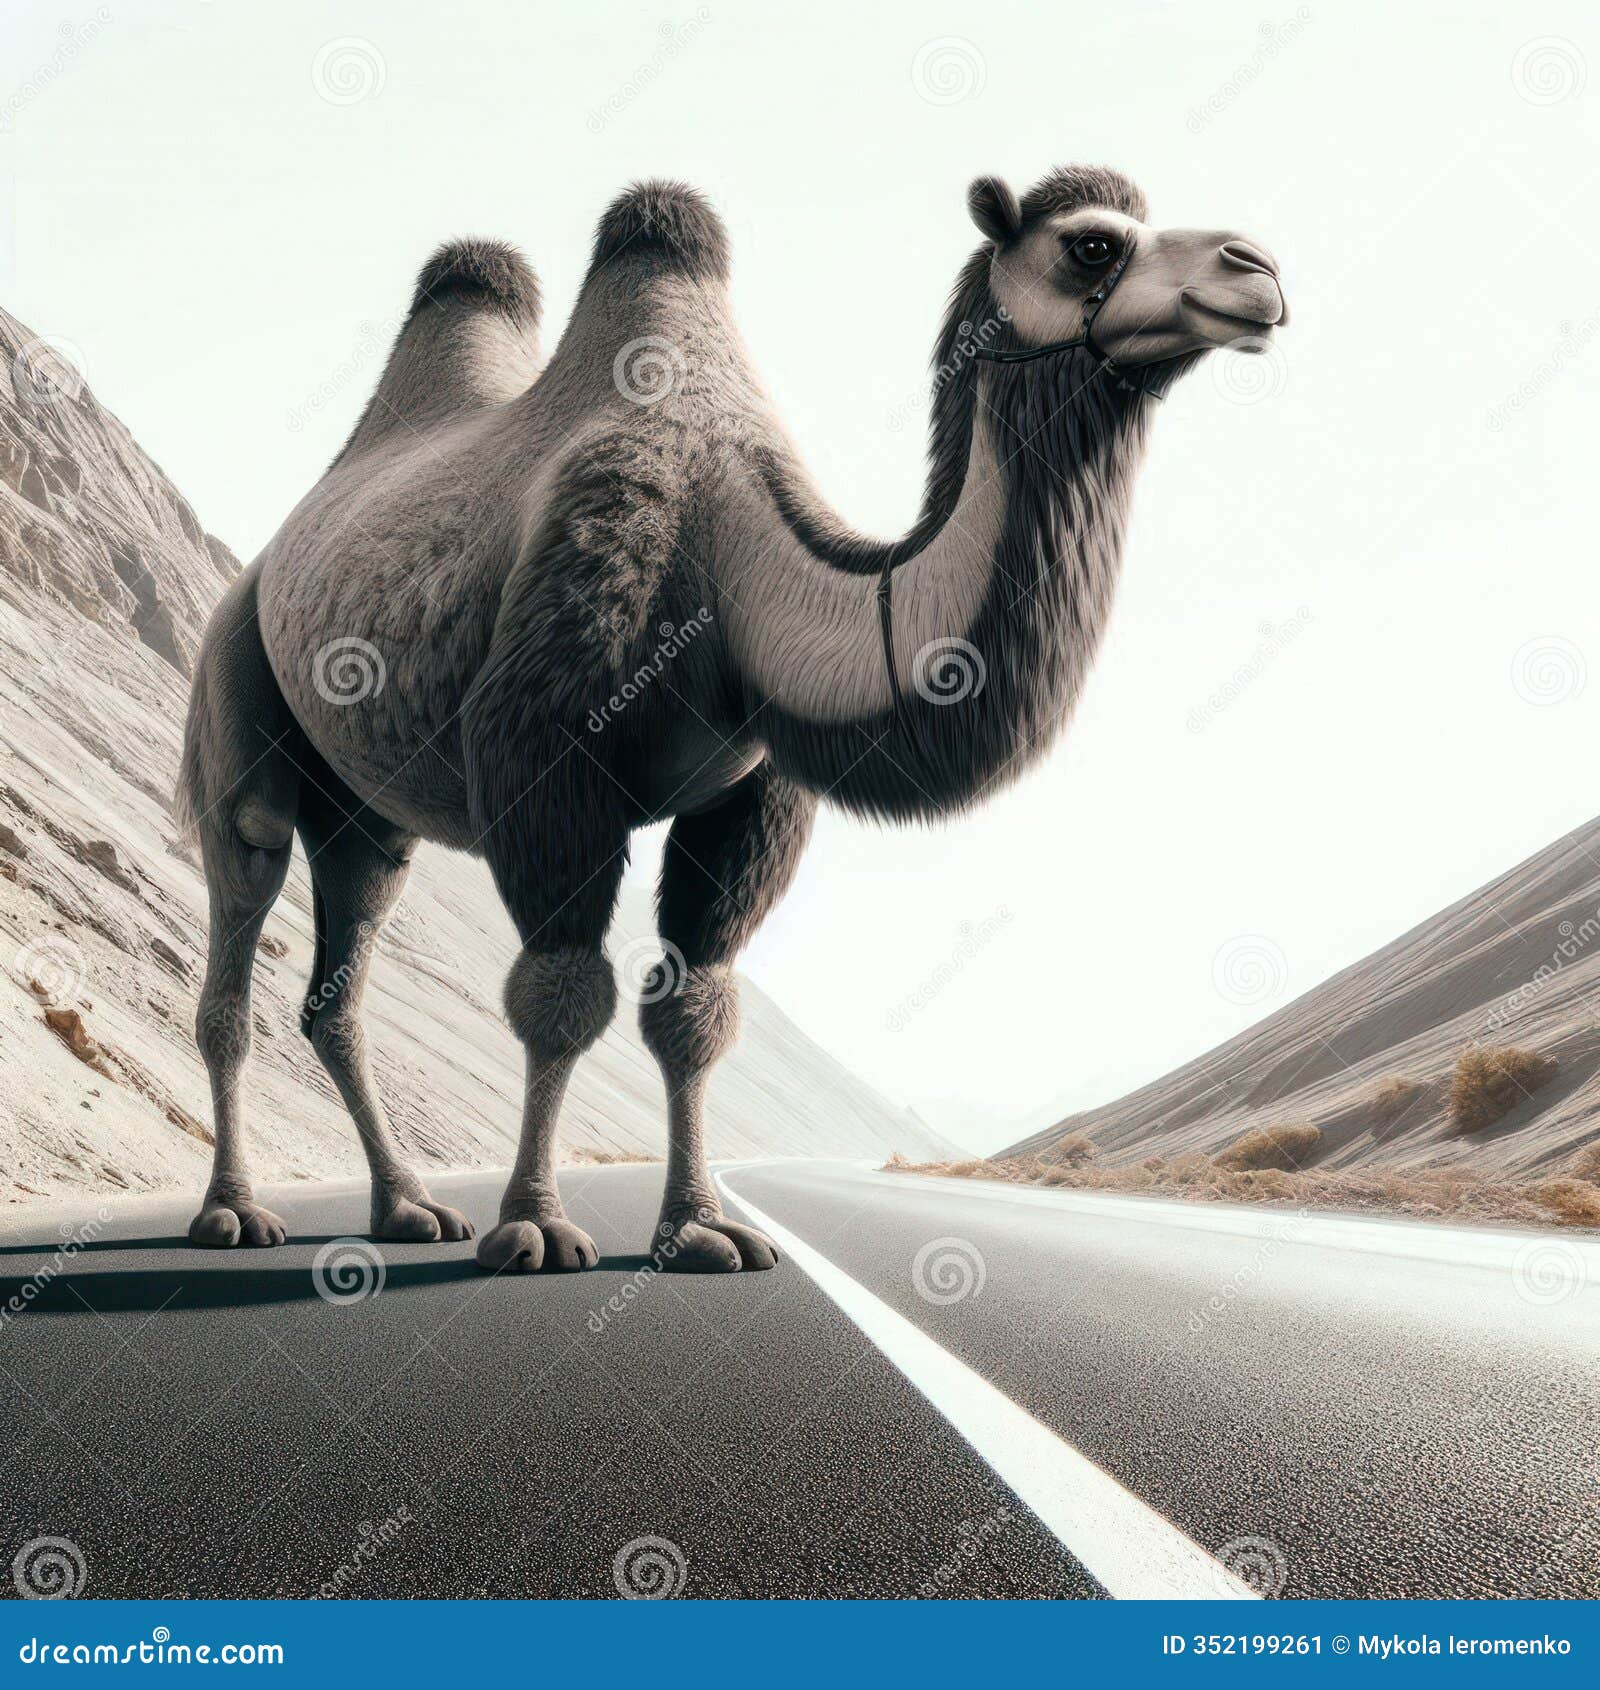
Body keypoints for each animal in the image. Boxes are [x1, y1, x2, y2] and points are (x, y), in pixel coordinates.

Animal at [176, 165, 1287, 1273]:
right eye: (1092, 244)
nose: (1259, 272)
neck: (736, 558)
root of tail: (266, 560)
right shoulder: (546, 761)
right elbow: (562, 995)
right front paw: (535, 1225)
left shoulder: (750, 797)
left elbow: (694, 1008)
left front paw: (699, 1227)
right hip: (235, 672)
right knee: (240, 918)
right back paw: (234, 1213)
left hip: (367, 814)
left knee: (341, 978)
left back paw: (405, 1206)